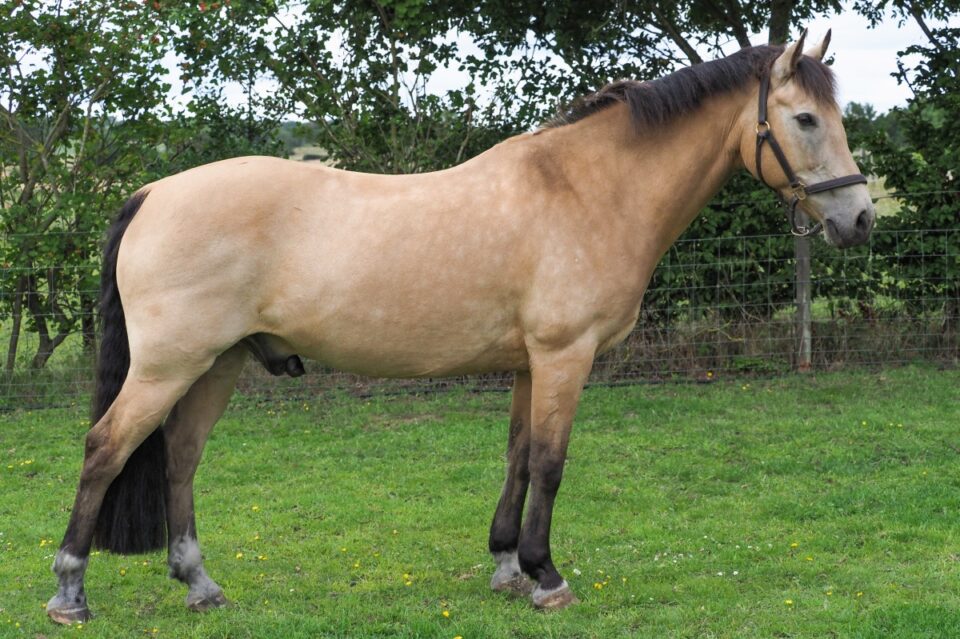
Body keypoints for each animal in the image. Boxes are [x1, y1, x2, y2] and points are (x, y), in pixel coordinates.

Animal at [46, 31, 874, 623]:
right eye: (804, 118)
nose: (860, 218)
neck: (584, 189)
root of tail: (153, 192)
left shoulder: (529, 363)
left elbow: (516, 458)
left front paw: (508, 566)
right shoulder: (565, 356)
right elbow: (549, 462)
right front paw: (547, 575)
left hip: (214, 364)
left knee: (180, 458)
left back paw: (200, 584)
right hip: (169, 365)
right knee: (105, 450)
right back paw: (70, 594)